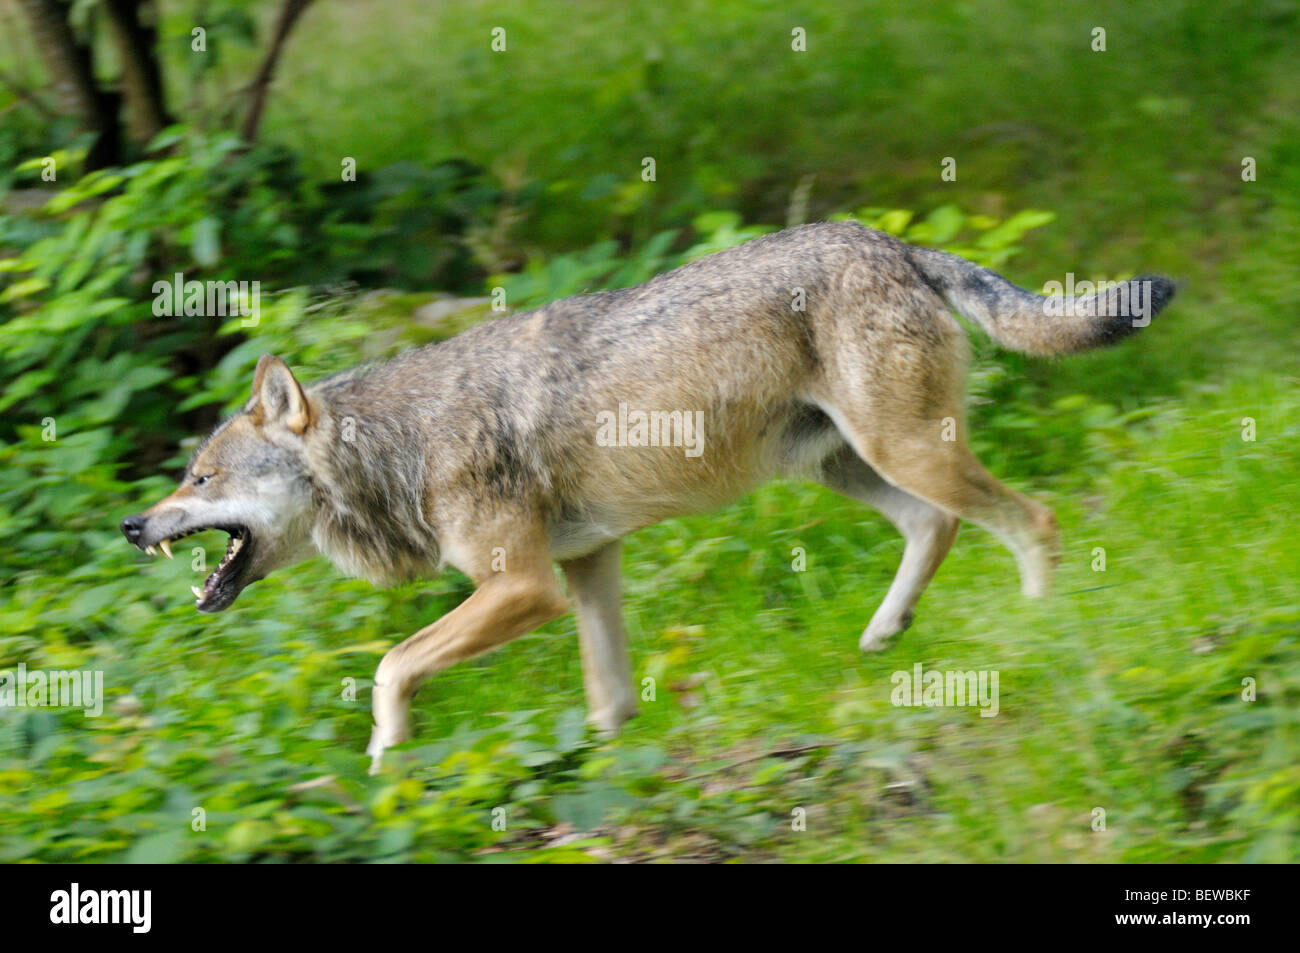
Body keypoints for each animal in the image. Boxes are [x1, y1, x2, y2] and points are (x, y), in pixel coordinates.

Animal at [120, 221, 1175, 770]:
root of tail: (887, 239)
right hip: (849, 467)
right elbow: (609, 704)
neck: (399, 448)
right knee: (942, 525)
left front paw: (388, 754)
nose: (133, 523)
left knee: (1032, 519)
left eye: (200, 477)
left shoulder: (524, 588)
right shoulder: (588, 569)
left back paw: (1038, 628)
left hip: (900, 451)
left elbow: (389, 663)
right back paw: (885, 634)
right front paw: (606, 767)